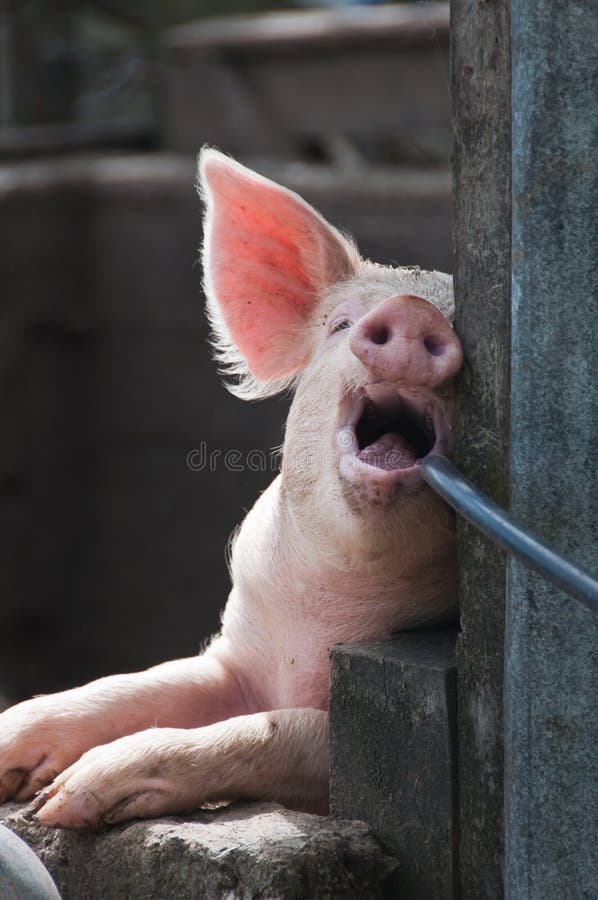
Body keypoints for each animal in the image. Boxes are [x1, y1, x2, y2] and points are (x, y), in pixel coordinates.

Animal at [0, 150, 462, 829]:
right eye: (340, 325)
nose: (410, 312)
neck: (335, 611)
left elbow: (278, 730)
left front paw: (60, 803)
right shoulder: (237, 656)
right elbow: (142, 684)